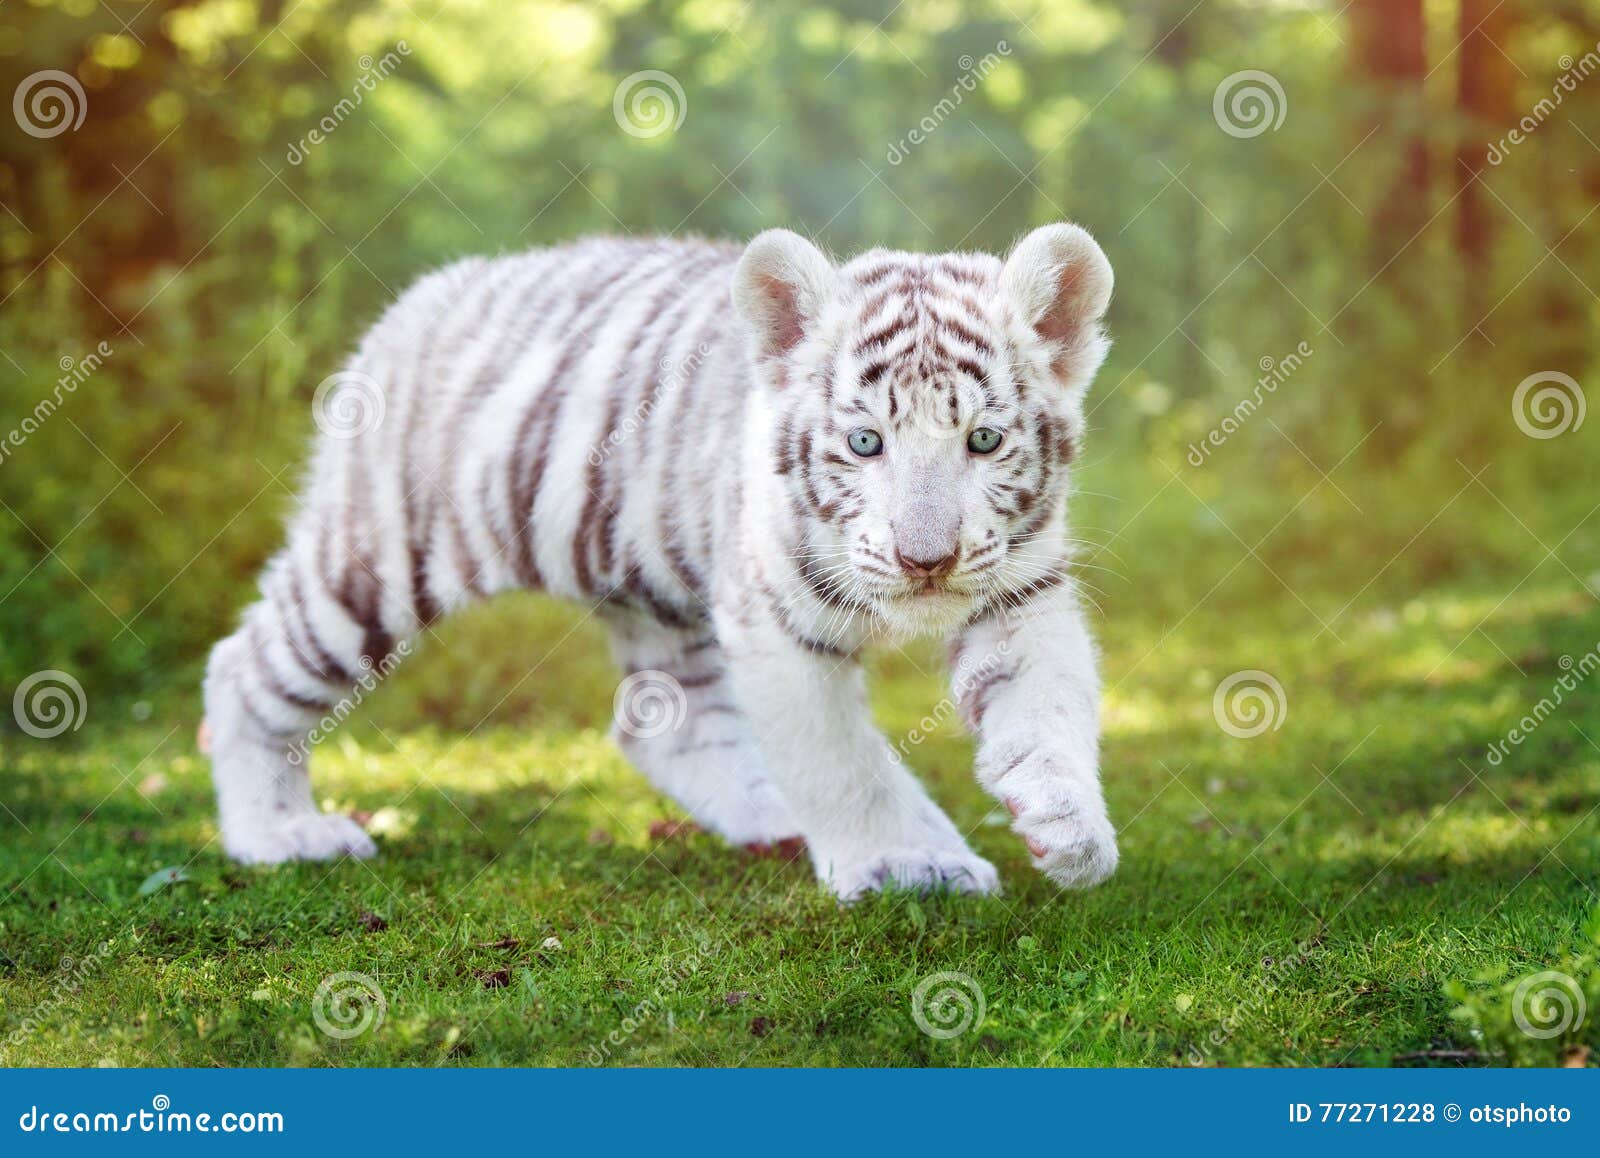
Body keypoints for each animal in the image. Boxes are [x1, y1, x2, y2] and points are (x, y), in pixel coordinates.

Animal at [202, 223, 1118, 901]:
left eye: (984, 440)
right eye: (866, 444)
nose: (925, 560)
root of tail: (421, 297)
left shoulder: (1021, 588)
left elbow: (1050, 707)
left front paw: (1067, 826)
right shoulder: (776, 618)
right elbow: (841, 759)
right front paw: (906, 863)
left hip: (651, 587)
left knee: (665, 723)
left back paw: (768, 814)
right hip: (374, 565)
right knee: (245, 668)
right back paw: (280, 834)